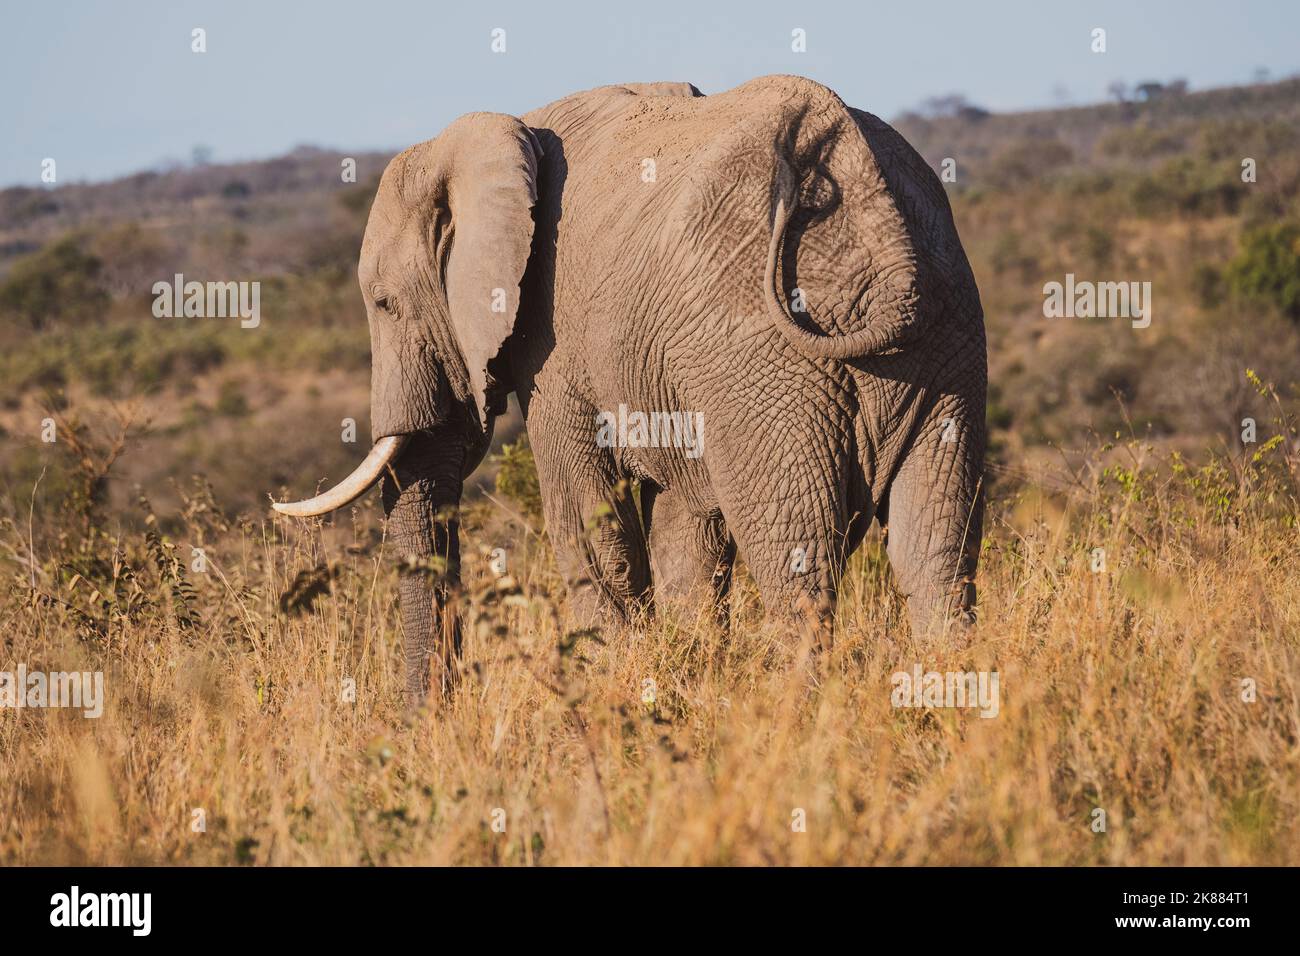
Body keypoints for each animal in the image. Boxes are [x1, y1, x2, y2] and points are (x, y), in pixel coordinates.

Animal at [273, 75, 987, 704]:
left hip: (762, 365)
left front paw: (618, 685)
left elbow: (584, 517)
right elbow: (686, 532)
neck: (499, 135)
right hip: (940, 347)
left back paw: (796, 719)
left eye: (384, 303)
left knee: (798, 559)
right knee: (935, 548)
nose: (431, 723)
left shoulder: (558, 342)